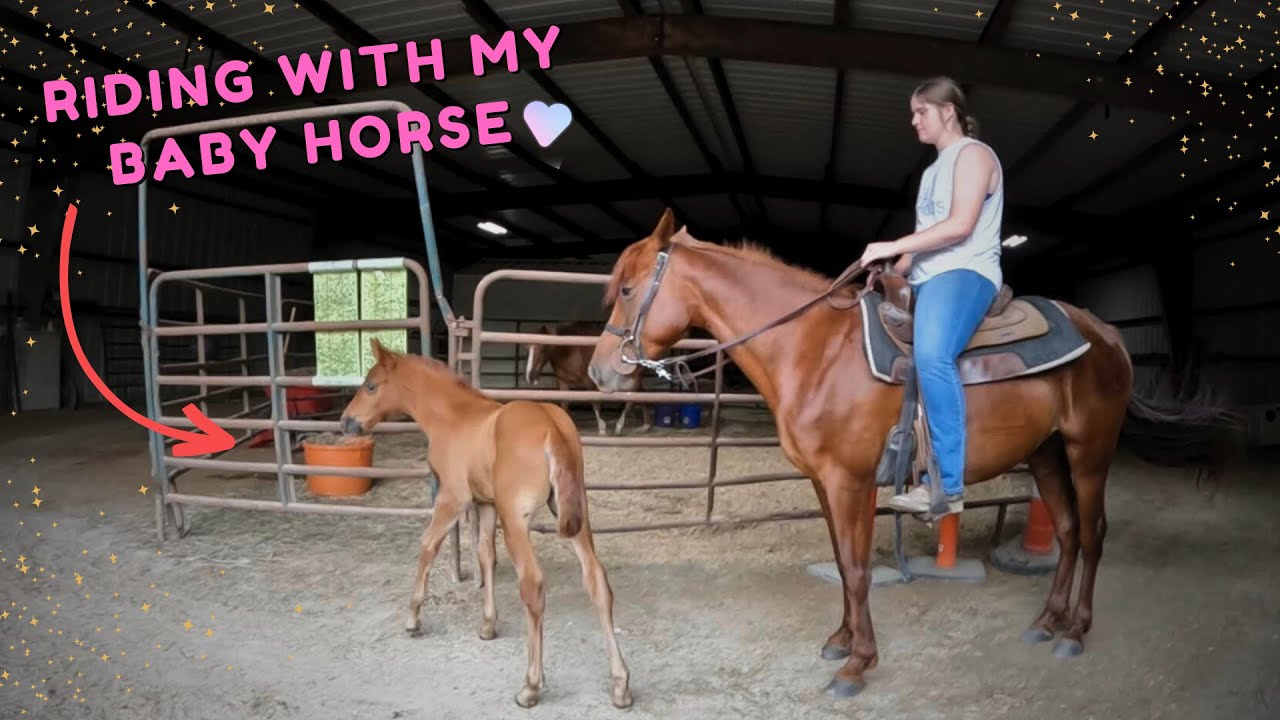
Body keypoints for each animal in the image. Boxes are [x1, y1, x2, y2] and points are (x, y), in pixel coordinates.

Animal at [338, 339, 633, 709]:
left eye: (371, 385)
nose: (346, 423)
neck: (453, 417)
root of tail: (552, 428)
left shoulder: (453, 498)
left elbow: (428, 545)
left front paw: (413, 619)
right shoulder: (486, 504)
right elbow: (486, 557)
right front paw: (488, 625)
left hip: (516, 521)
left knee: (533, 586)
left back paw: (530, 686)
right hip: (576, 517)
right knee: (597, 581)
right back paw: (620, 684)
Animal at [586, 209, 1241, 699]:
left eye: (628, 289)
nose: (599, 373)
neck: (815, 349)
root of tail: (1108, 336)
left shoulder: (850, 481)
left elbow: (855, 569)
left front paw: (858, 664)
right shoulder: (823, 482)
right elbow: (841, 562)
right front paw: (842, 641)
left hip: (1089, 452)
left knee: (1096, 533)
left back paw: (1076, 631)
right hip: (1046, 455)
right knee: (1070, 532)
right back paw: (1045, 622)